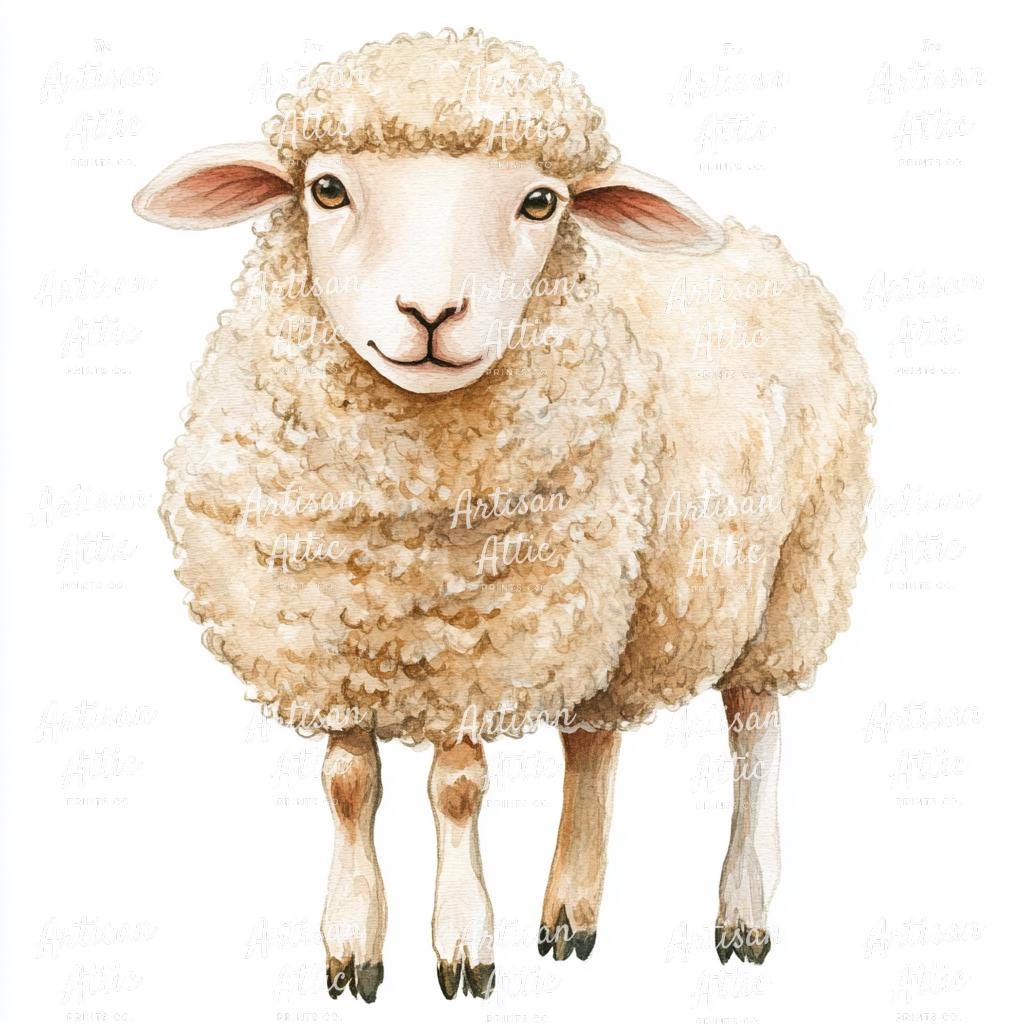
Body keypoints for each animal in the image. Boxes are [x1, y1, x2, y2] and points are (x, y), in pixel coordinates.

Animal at [133, 28, 874, 1003]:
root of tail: (762, 243)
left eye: (540, 201)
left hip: (792, 576)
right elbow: (345, 783)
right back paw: (570, 913)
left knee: (754, 735)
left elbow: (456, 789)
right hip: (608, 605)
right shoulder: (329, 638)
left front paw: (463, 945)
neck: (401, 535)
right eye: (326, 190)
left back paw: (742, 911)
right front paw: (352, 946)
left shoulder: (485, 645)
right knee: (594, 737)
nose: (431, 313)